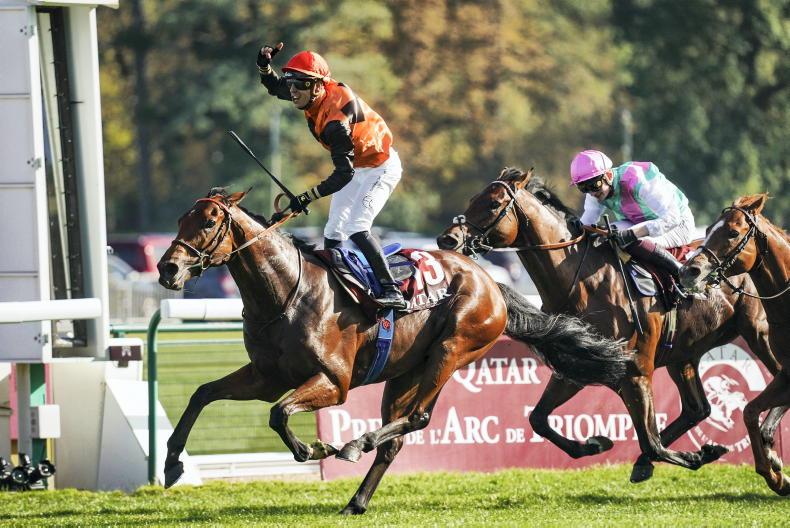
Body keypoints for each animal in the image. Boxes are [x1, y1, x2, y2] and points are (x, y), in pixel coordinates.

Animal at [156, 187, 631, 514]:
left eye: (208, 221)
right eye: (180, 218)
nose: (168, 268)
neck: (286, 293)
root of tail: (490, 281)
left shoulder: (334, 382)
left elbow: (279, 414)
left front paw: (314, 450)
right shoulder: (266, 376)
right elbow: (203, 393)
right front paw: (172, 465)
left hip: (452, 350)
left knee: (416, 418)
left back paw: (354, 444)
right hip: (405, 372)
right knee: (396, 437)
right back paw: (357, 499)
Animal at [437, 168, 781, 483]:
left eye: (494, 204)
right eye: (473, 199)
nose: (447, 238)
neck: (584, 282)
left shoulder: (636, 372)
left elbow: (651, 441)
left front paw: (701, 454)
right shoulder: (578, 364)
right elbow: (538, 419)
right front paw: (595, 444)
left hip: (760, 335)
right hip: (683, 355)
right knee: (698, 409)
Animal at [679, 194, 790, 495]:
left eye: (732, 232)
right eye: (707, 230)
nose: (689, 271)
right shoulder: (788, 374)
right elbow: (750, 411)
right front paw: (774, 475)